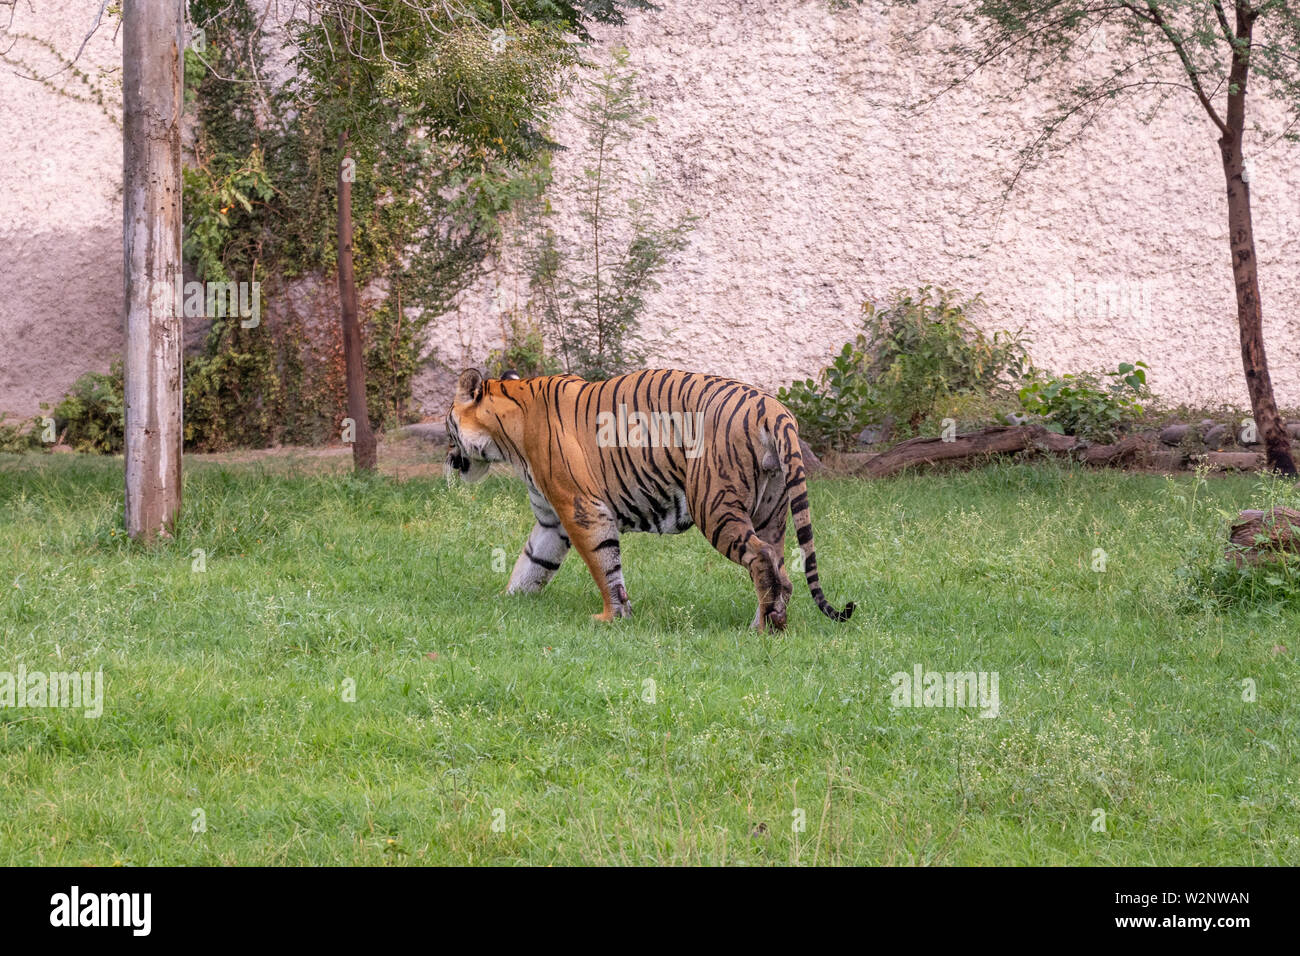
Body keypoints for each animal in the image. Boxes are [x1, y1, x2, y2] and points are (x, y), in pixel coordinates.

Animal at [445, 367, 855, 631]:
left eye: (448, 429)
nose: (449, 459)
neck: (508, 438)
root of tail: (773, 407)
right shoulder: (551, 520)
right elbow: (531, 564)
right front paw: (507, 602)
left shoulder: (581, 509)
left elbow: (604, 566)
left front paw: (612, 617)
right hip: (771, 511)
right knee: (782, 570)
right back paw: (769, 622)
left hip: (714, 505)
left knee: (762, 557)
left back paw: (763, 628)